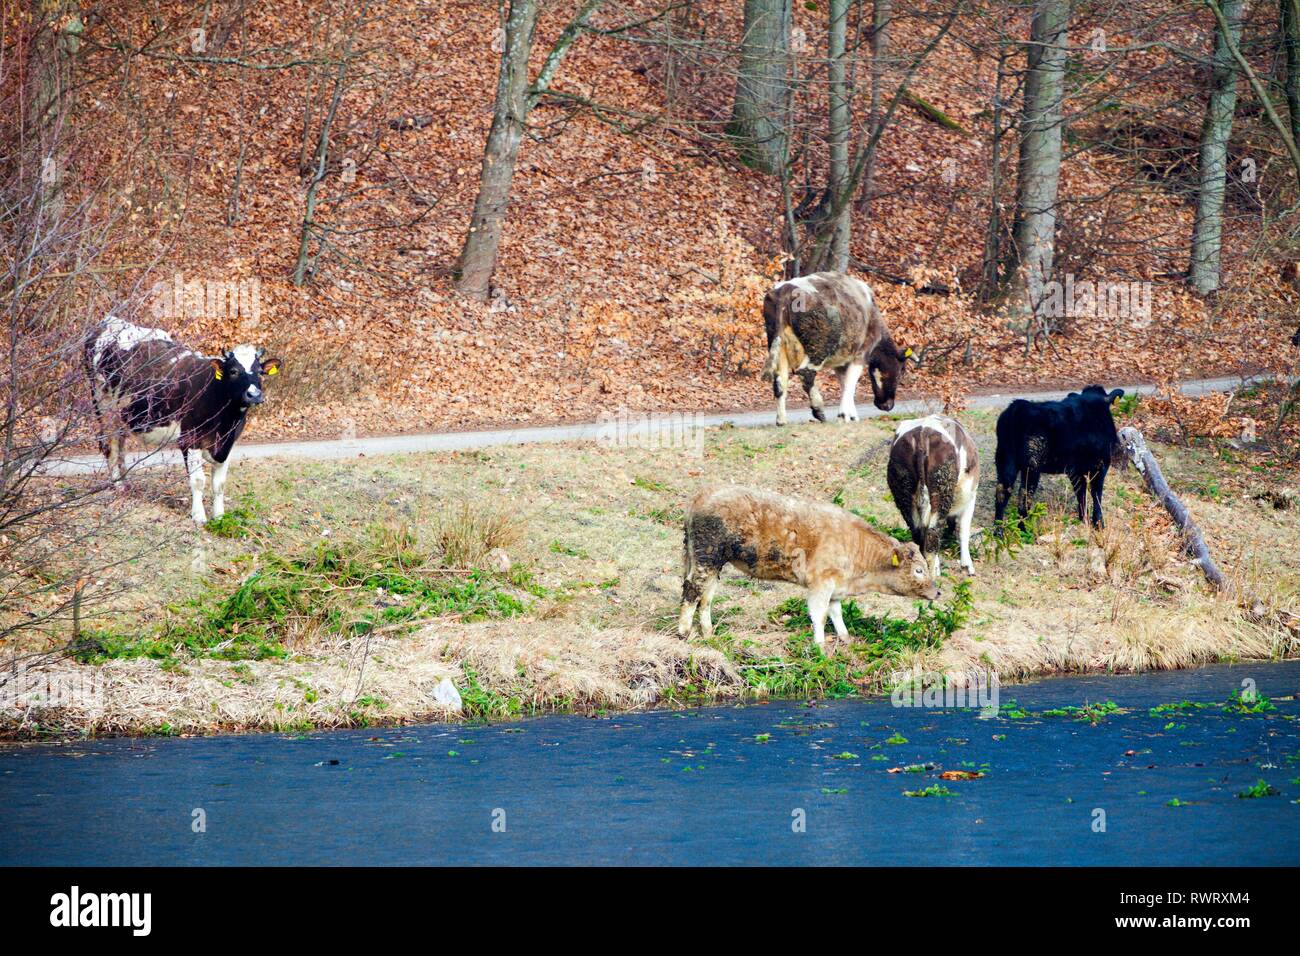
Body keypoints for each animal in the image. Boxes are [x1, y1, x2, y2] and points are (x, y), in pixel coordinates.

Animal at [85, 316, 280, 524]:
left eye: (260, 372)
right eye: (234, 371)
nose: (254, 395)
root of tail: (110, 321)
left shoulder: (227, 443)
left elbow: (219, 484)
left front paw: (219, 516)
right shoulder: (190, 439)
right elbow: (198, 481)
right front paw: (199, 516)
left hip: (123, 416)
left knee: (120, 444)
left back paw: (126, 481)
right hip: (105, 409)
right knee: (111, 445)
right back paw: (118, 484)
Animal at [678, 485, 940, 647]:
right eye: (918, 570)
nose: (937, 591)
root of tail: (701, 496)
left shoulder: (836, 588)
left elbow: (836, 613)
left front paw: (845, 638)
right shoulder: (820, 583)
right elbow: (819, 615)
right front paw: (820, 645)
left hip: (713, 562)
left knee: (706, 597)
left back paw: (708, 632)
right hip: (706, 557)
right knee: (691, 591)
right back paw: (684, 632)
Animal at [760, 272, 911, 426]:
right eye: (901, 371)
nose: (887, 406)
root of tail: (786, 289)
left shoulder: (841, 361)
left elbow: (844, 385)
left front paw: (852, 416)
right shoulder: (861, 354)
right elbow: (850, 384)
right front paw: (843, 415)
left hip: (778, 344)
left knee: (780, 381)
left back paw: (782, 420)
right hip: (818, 348)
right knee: (806, 374)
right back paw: (819, 410)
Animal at [886, 415, 979, 578]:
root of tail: (922, 434)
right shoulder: (970, 497)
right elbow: (964, 530)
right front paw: (967, 565)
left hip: (903, 489)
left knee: (918, 534)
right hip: (941, 493)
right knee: (932, 535)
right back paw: (935, 573)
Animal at [993, 385, 1124, 529]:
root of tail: (1017, 407)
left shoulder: (1076, 470)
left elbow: (1081, 493)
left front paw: (1083, 519)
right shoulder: (1101, 465)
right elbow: (1096, 494)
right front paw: (1099, 524)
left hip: (1004, 458)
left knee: (1002, 492)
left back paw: (998, 530)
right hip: (1031, 465)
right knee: (1024, 495)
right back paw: (1024, 529)